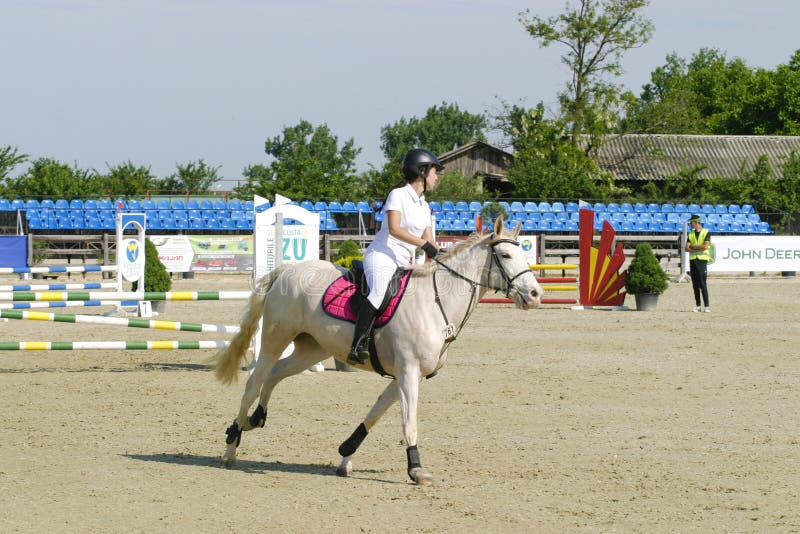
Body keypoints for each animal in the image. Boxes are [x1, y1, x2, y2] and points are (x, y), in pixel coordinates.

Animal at [211, 216, 544, 485]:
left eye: (522, 253)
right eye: (505, 255)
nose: (535, 295)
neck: (436, 304)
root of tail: (287, 270)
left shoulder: (407, 375)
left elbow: (375, 414)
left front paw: (345, 456)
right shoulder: (408, 372)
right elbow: (409, 423)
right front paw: (416, 470)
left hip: (312, 348)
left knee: (276, 375)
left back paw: (256, 419)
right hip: (276, 337)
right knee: (254, 383)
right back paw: (231, 445)